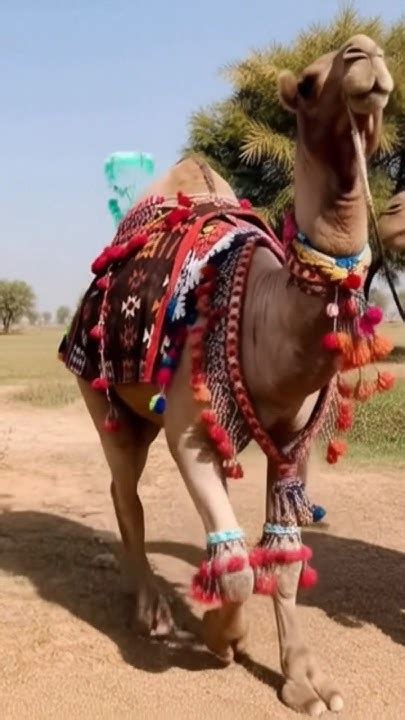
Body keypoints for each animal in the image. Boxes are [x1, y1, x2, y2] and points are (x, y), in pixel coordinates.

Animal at [60, 35, 394, 717]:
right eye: (307, 84)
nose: (365, 54)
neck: (265, 321)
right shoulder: (192, 428)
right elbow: (237, 563)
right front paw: (222, 640)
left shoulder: (295, 438)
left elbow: (286, 557)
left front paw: (305, 681)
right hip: (99, 394)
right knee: (125, 492)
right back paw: (153, 613)